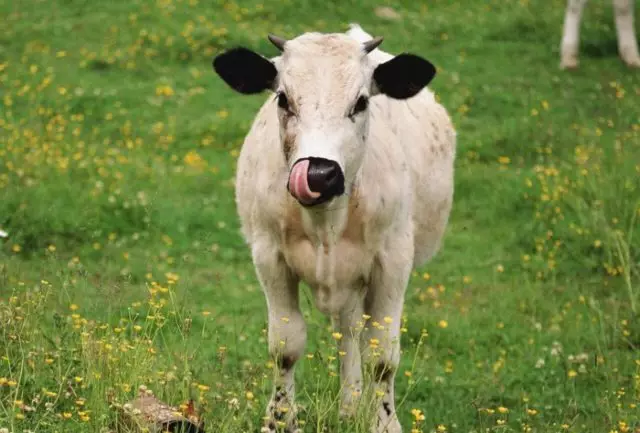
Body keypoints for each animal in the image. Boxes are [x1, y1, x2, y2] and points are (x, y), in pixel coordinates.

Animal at [211, 24, 456, 432]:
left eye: (361, 102)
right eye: (283, 99)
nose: (318, 174)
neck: (325, 222)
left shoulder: (394, 260)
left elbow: (382, 355)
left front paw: (384, 423)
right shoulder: (269, 256)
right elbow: (286, 345)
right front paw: (279, 420)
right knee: (348, 330)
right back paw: (349, 405)